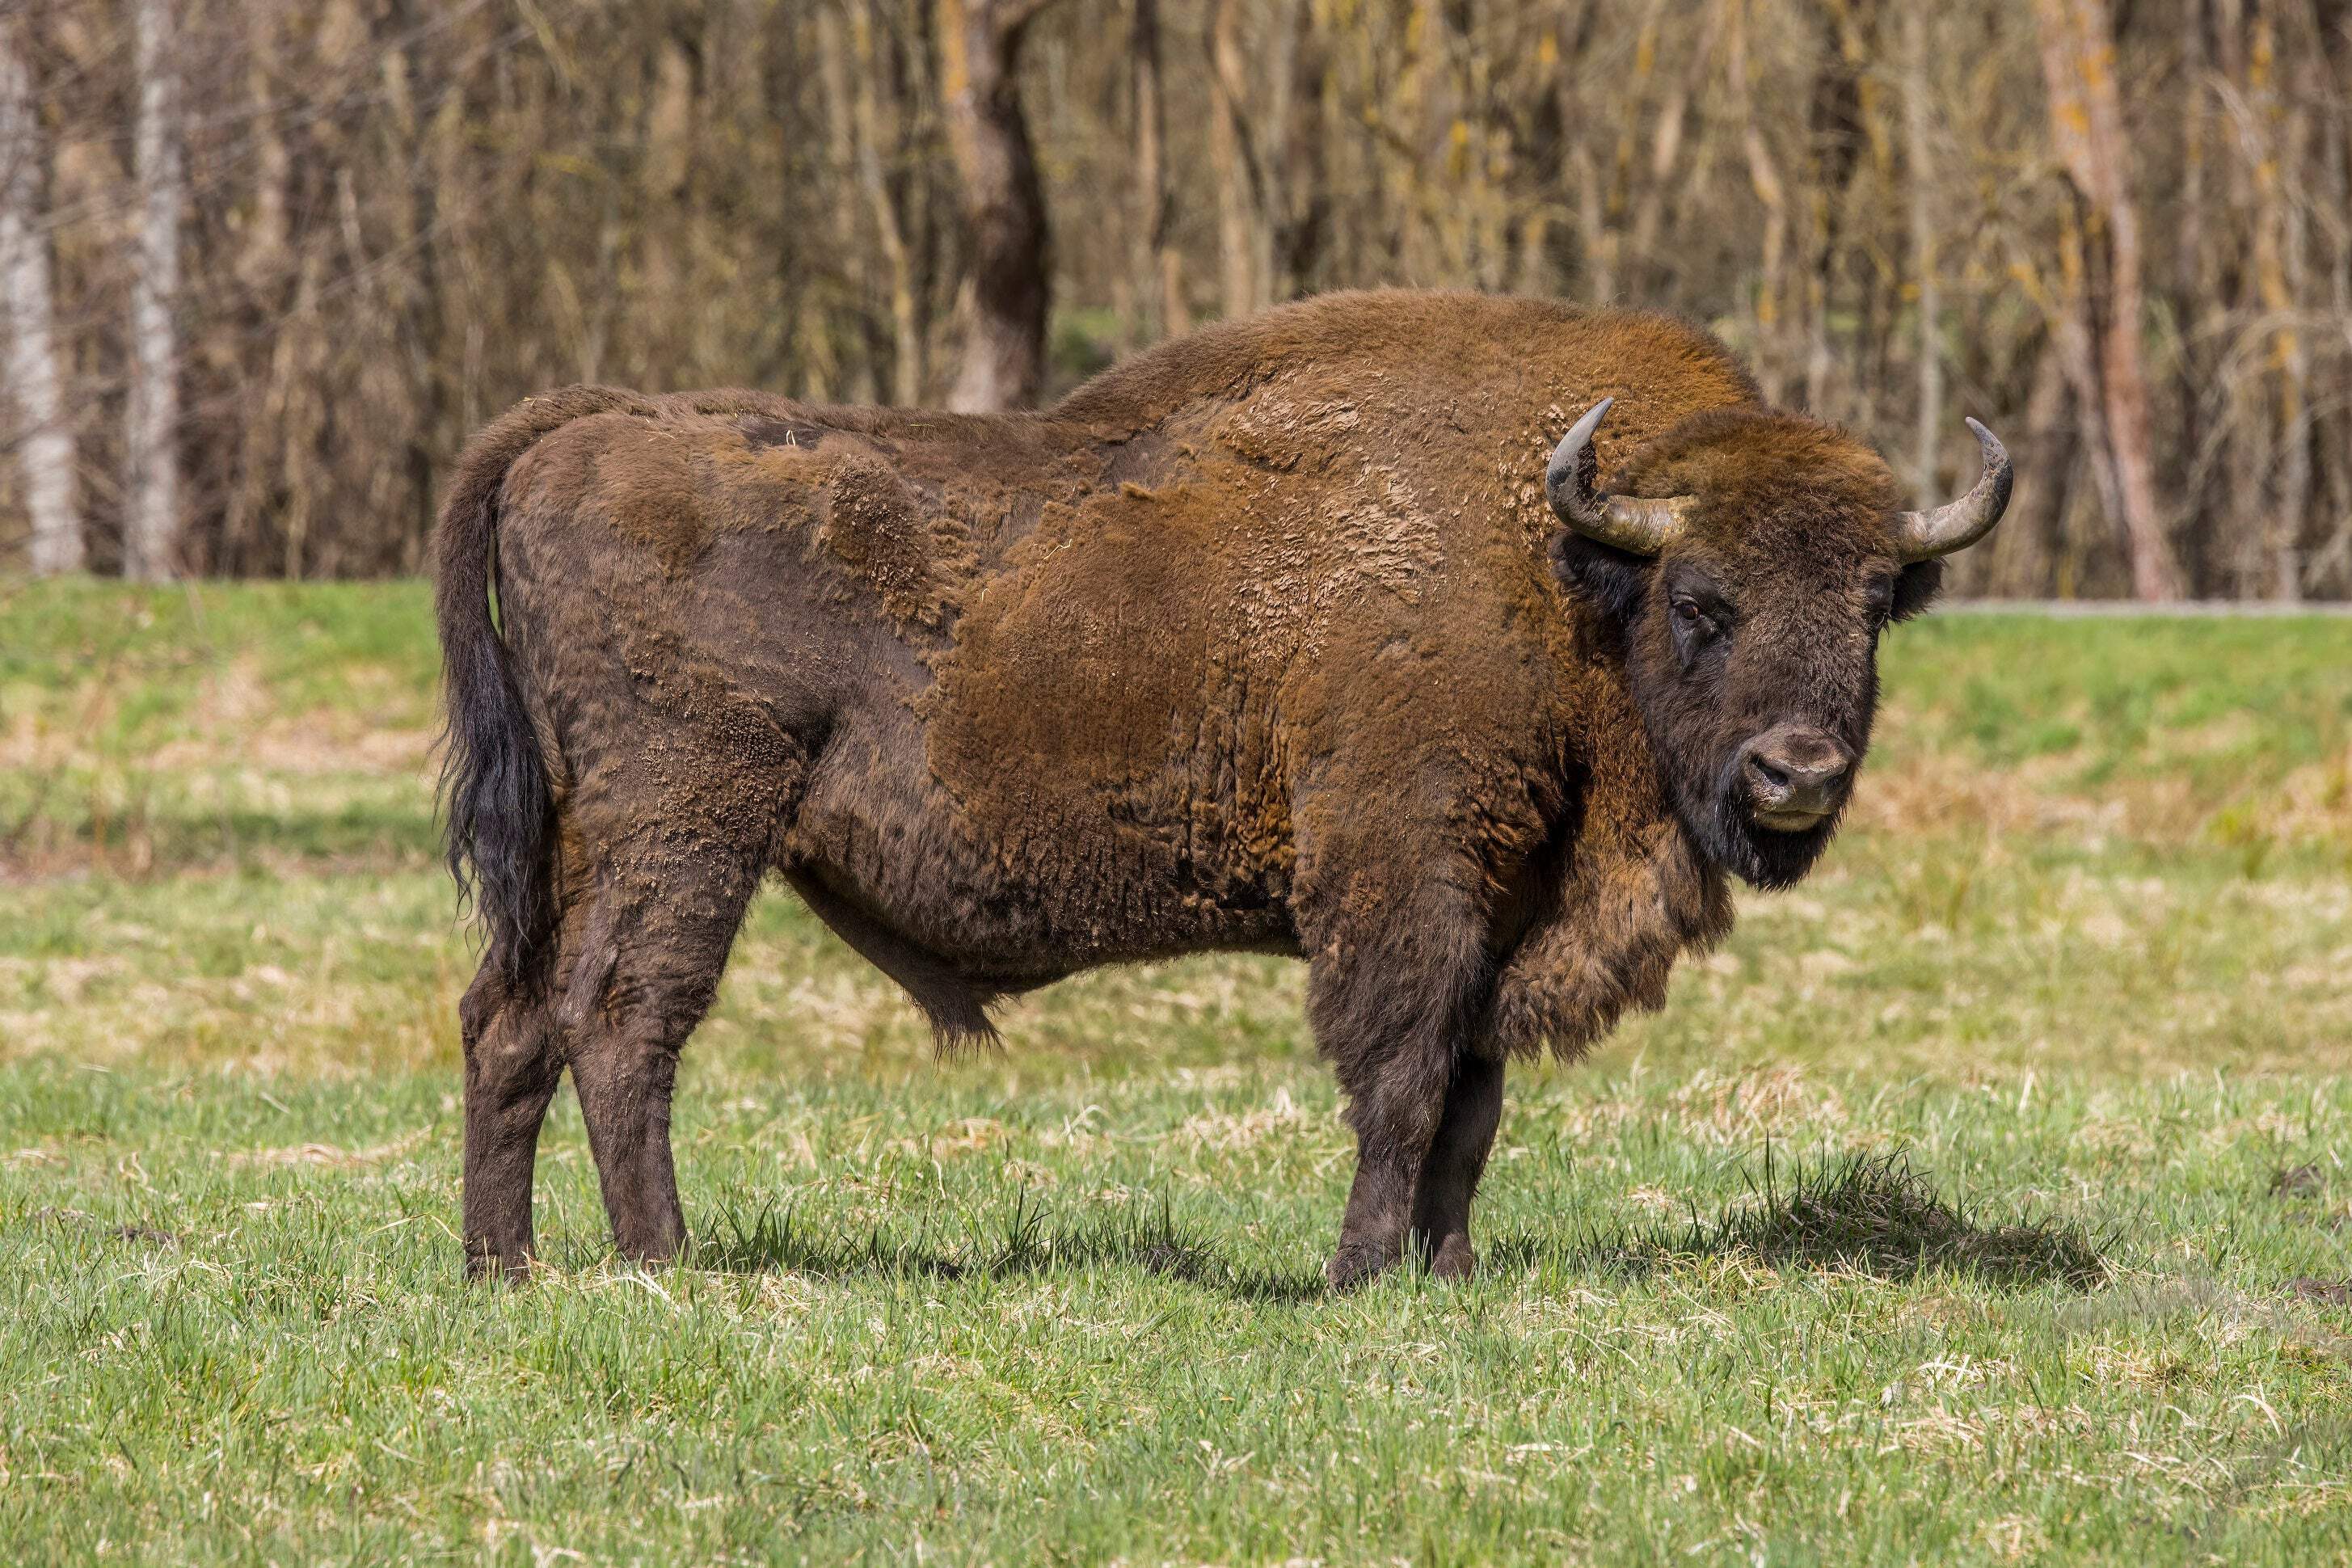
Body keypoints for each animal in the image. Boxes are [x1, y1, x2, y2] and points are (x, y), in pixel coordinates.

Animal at [437, 290, 2009, 1286]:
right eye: (1702, 602)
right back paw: (664, 1261)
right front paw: (1359, 1275)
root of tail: (587, 428)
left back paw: (503, 1269)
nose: (1797, 772)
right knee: (623, 1020)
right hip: (689, 824)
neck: (1559, 564)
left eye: (1876, 602)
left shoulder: (1503, 904)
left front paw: (1450, 1274)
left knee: (509, 1020)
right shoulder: (1406, 876)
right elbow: (1402, 1079)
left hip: (576, 835)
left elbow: (1473, 1101)